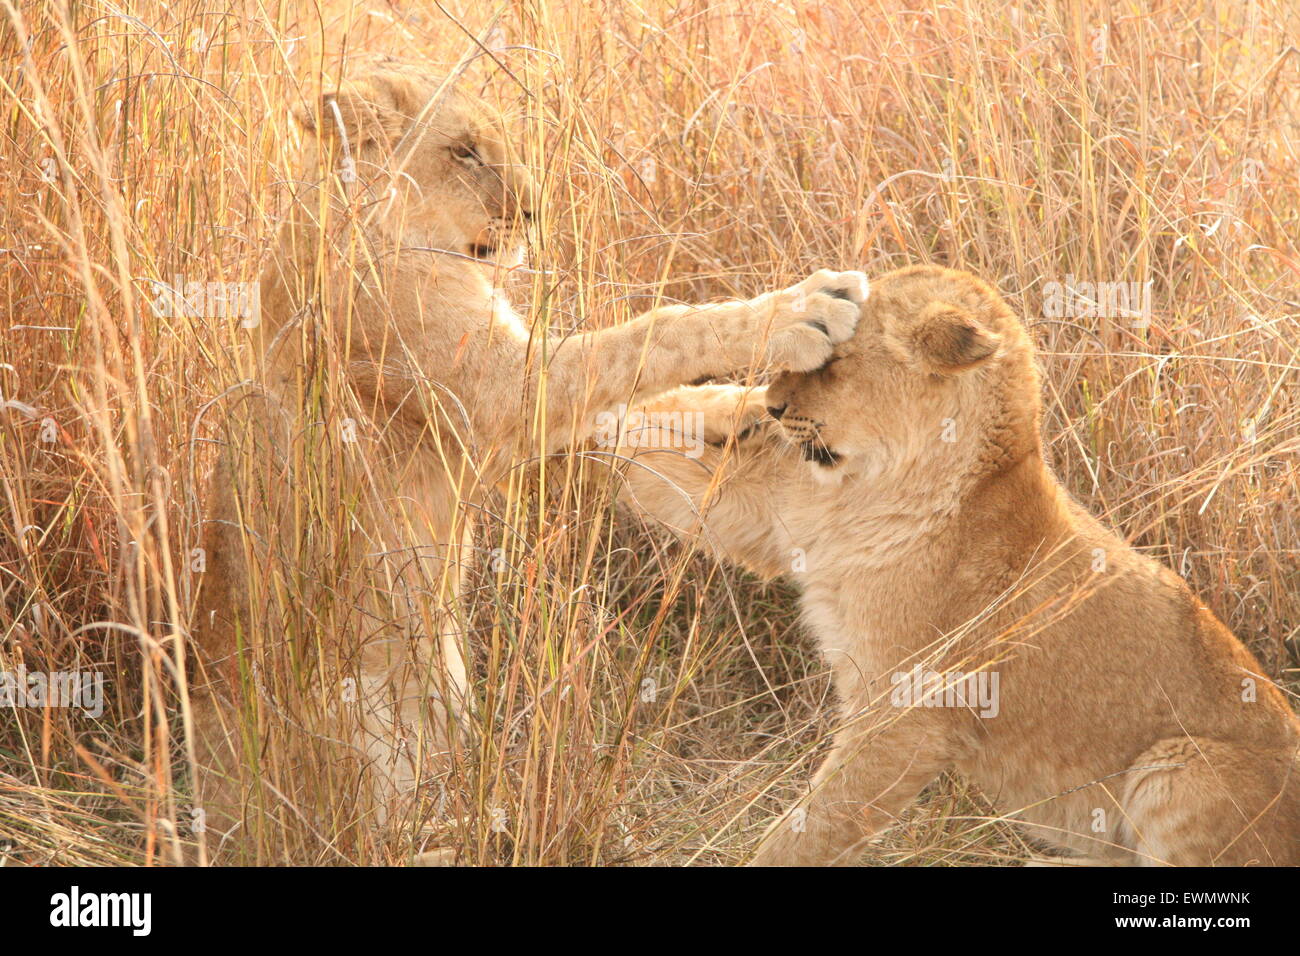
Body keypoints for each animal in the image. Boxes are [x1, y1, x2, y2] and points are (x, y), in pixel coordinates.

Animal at [190, 57, 867, 863]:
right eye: (464, 152)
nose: (537, 215)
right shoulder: (500, 392)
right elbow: (651, 334)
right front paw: (800, 311)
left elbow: (641, 405)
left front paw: (748, 409)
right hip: (354, 722)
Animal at [616, 264, 1300, 866]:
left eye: (834, 365)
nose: (776, 404)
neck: (870, 485)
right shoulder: (764, 514)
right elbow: (648, 456)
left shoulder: (904, 716)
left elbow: (811, 828)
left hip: (1179, 769)